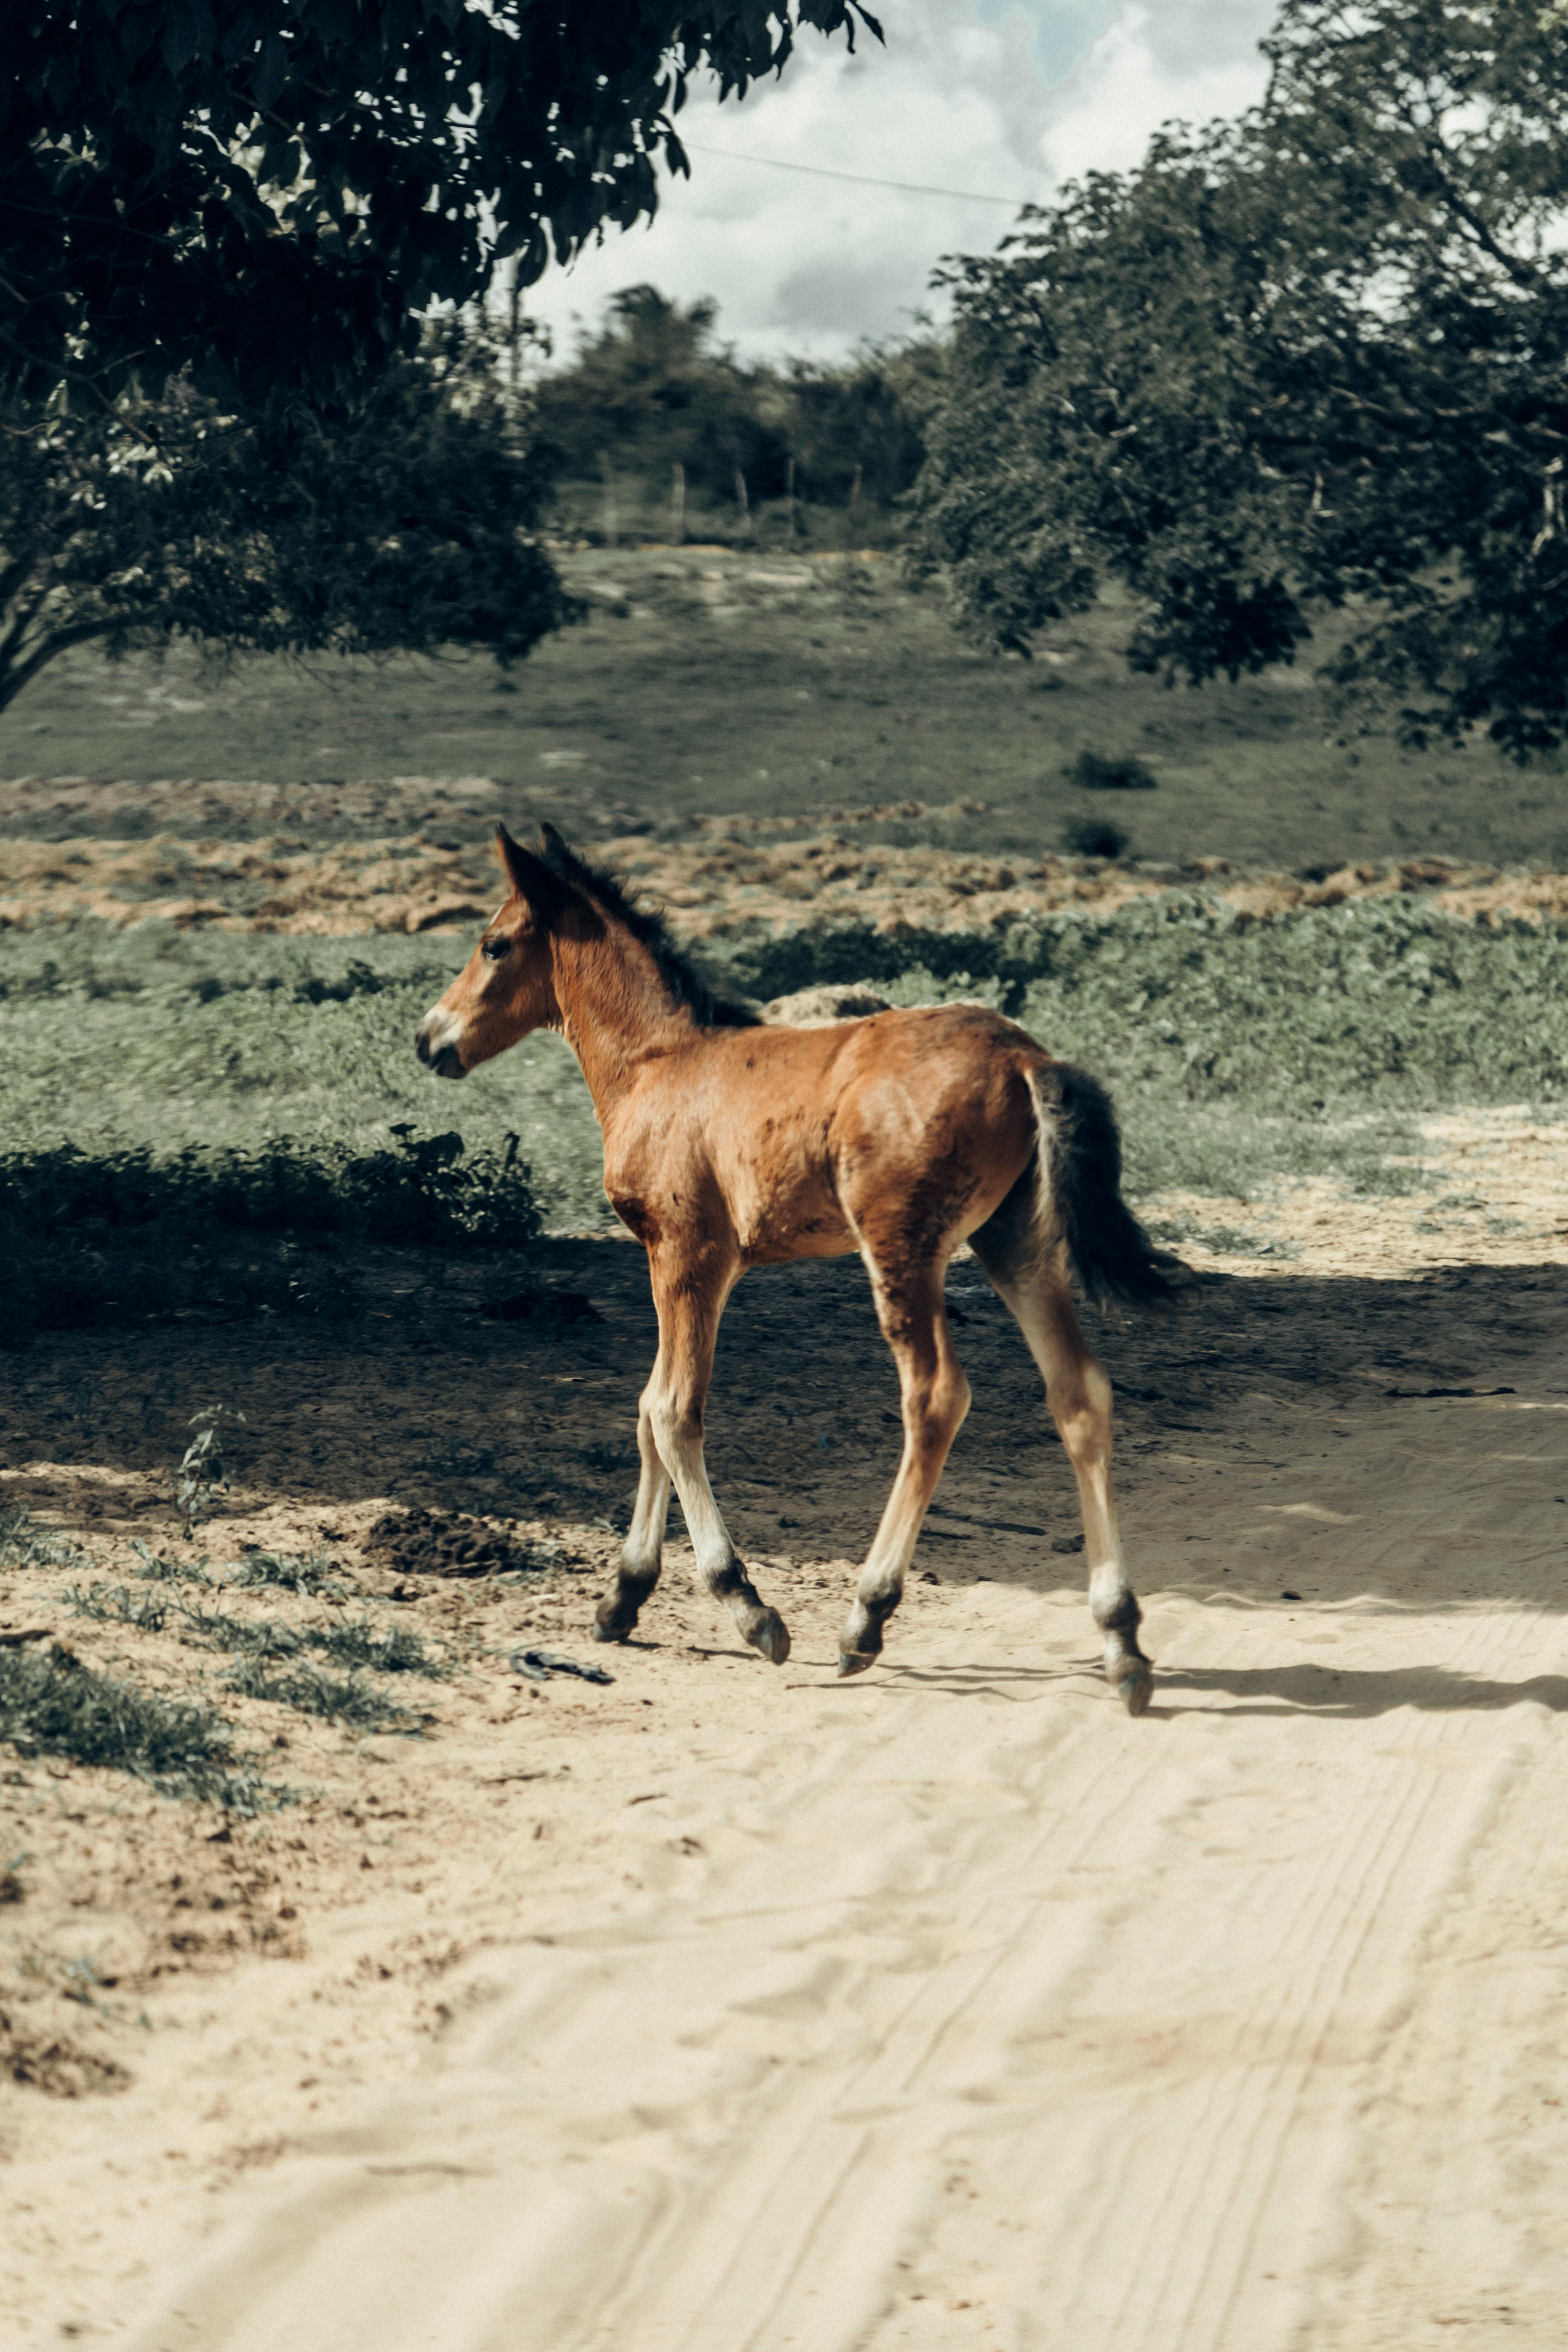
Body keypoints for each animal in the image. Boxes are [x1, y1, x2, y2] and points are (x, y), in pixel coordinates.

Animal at [416, 823, 1181, 1714]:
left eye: (493, 945)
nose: (430, 1039)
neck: (659, 1063)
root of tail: (1025, 1058)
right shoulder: (685, 1266)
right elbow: (646, 1410)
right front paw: (622, 1597)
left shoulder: (688, 1254)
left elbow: (672, 1411)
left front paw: (746, 1606)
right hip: (1014, 1243)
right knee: (1079, 1393)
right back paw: (1122, 1642)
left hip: (902, 1246)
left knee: (935, 1396)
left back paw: (865, 1618)